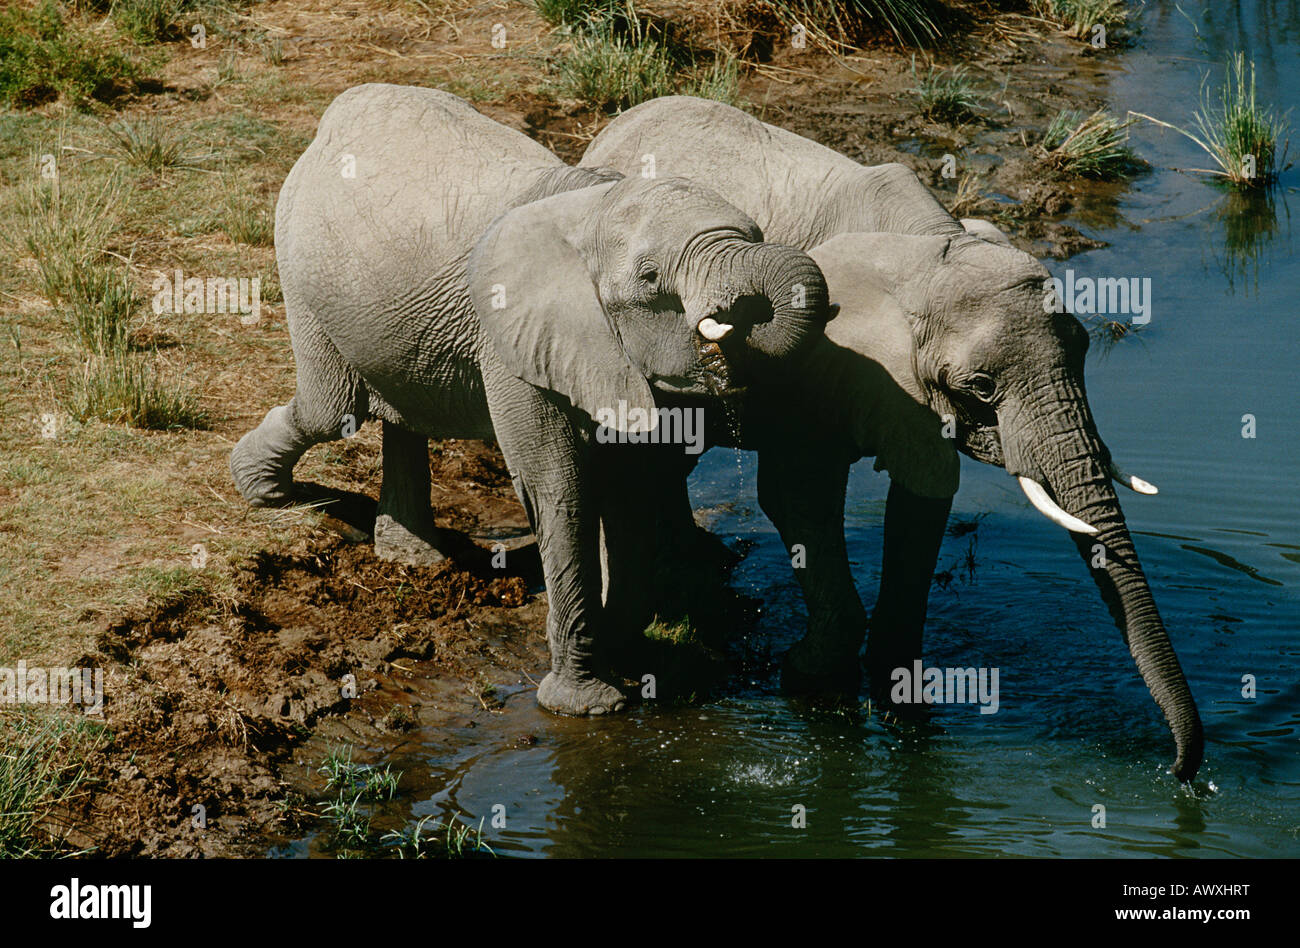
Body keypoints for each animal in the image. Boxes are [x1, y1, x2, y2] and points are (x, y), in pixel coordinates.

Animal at [229, 85, 832, 718]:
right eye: (650, 280)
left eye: (757, 237)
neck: (594, 208)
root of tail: (338, 113)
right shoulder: (510, 339)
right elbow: (559, 483)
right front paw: (586, 703)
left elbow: (632, 483)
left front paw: (631, 656)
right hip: (298, 263)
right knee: (333, 408)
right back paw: (262, 488)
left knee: (399, 411)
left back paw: (411, 558)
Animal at [581, 95, 1204, 781]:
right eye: (982, 386)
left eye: (1087, 353)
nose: (1180, 772)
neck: (930, 250)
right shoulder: (816, 362)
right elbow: (797, 495)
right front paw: (813, 677)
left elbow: (923, 498)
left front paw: (900, 693)